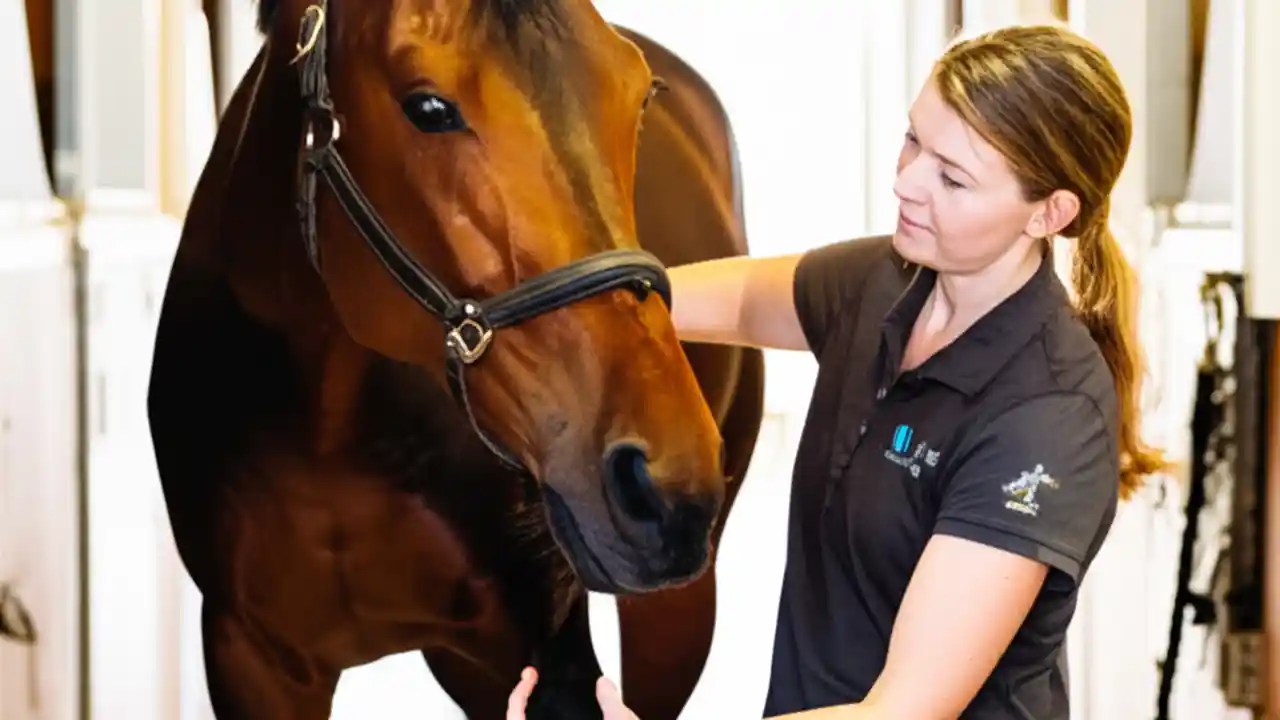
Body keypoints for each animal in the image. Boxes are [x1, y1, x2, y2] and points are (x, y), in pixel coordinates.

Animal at [146, 1, 763, 717]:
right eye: (428, 108)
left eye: (640, 98)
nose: (668, 482)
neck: (330, 431)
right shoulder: (252, 656)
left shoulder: (548, 666)